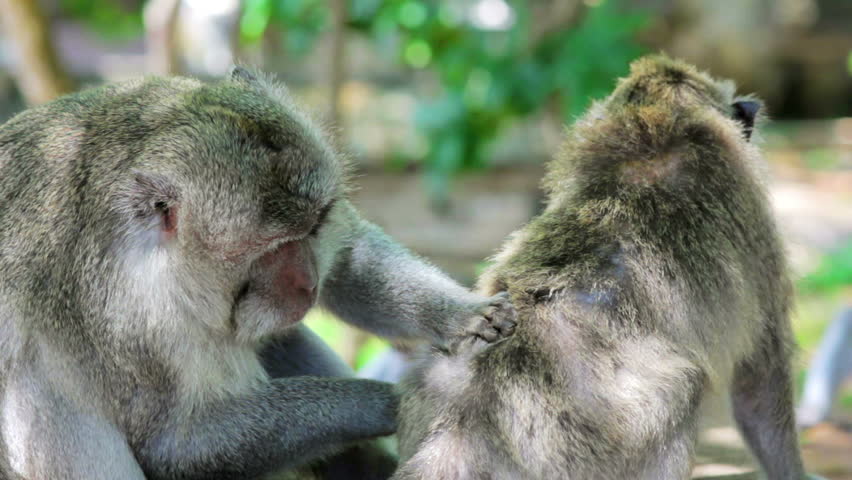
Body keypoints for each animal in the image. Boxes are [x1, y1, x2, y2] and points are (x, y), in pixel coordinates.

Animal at [0, 66, 516, 480]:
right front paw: (392, 400)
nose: (306, 283)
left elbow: (349, 260)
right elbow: (175, 444)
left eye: (315, 225)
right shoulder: (123, 325)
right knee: (36, 390)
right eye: (270, 249)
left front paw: (457, 315)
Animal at [393, 55, 807, 480]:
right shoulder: (757, 230)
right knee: (685, 388)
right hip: (596, 441)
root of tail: (470, 416)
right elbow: (759, 379)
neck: (659, 124)